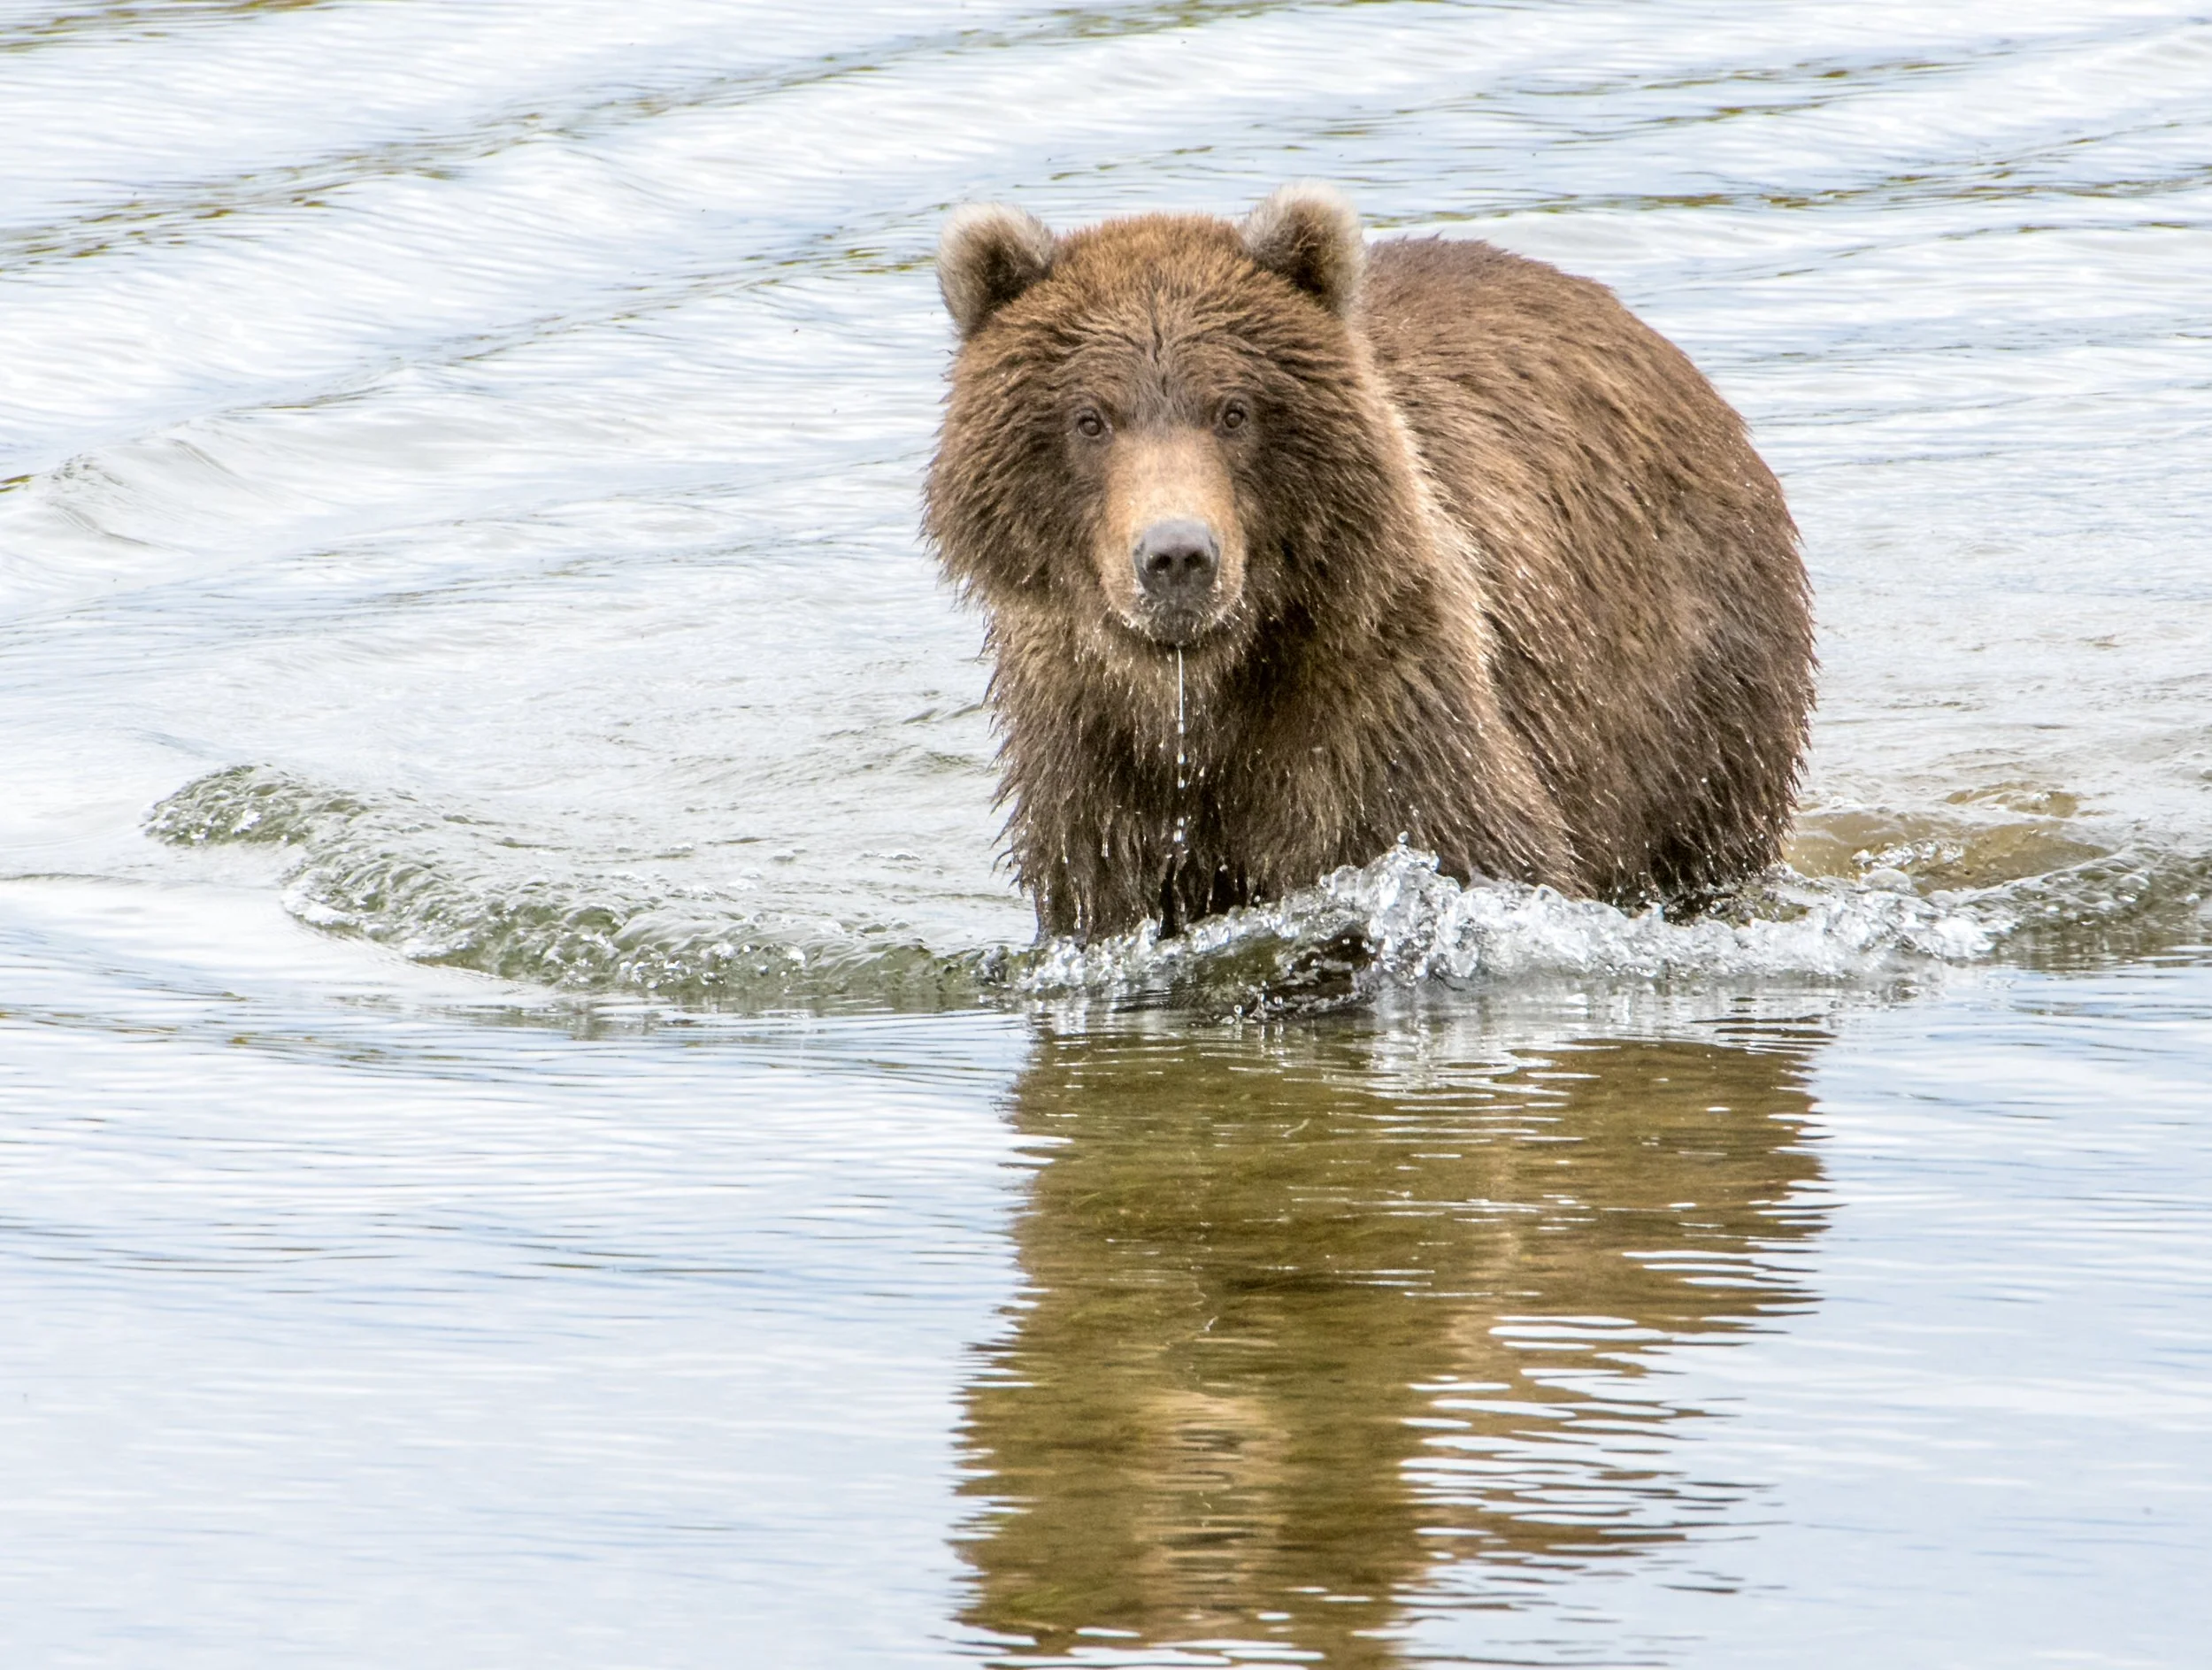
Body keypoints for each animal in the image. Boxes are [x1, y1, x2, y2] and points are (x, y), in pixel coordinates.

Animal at [924, 185, 1813, 943]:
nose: (1177, 555)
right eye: (1090, 418)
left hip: (1695, 684)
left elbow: (1476, 847)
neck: (1202, 694)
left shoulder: (1382, 696)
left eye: (1235, 409)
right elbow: (1106, 888)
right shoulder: (1091, 760)